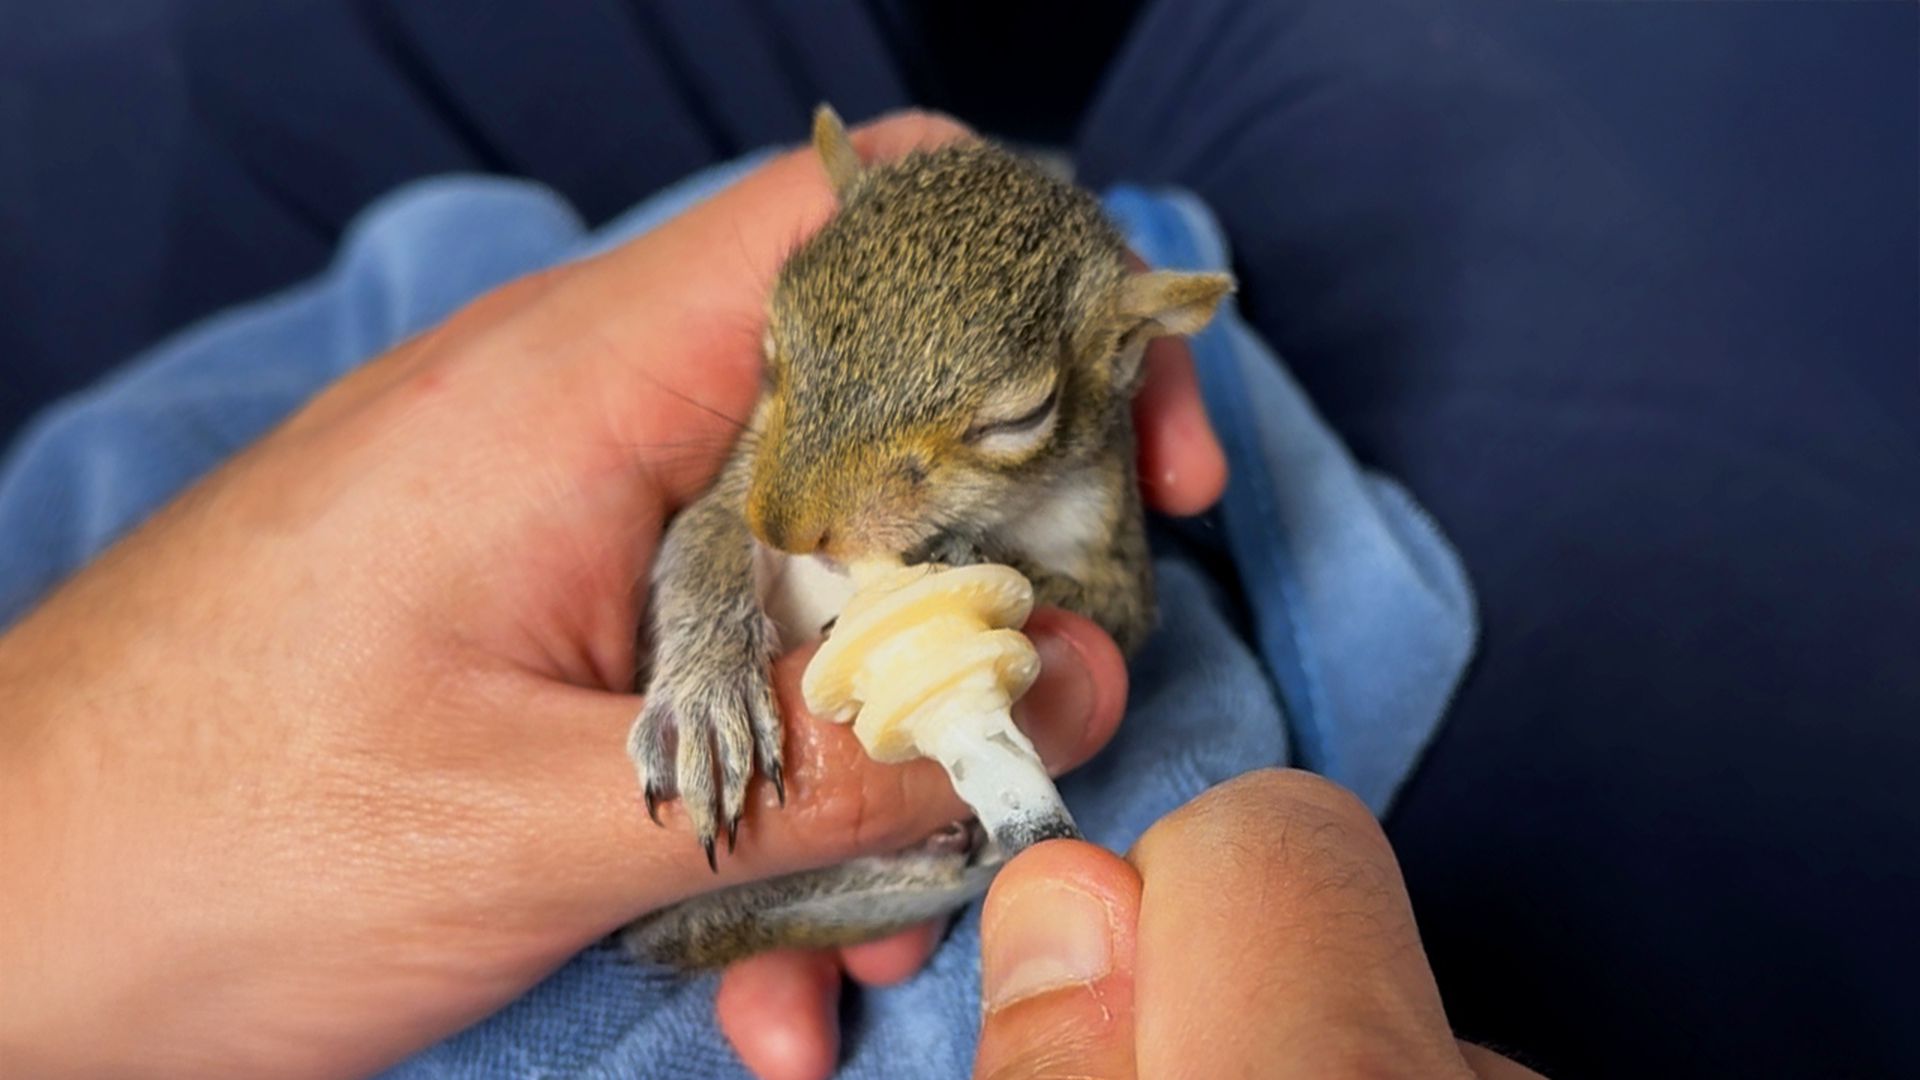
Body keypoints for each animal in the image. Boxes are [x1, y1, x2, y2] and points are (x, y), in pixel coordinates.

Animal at [621, 106, 1233, 969]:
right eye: (773, 337)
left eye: (1020, 417)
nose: (783, 524)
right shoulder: (741, 470)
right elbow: (701, 542)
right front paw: (708, 692)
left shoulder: (1114, 554)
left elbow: (1108, 611)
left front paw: (967, 554)